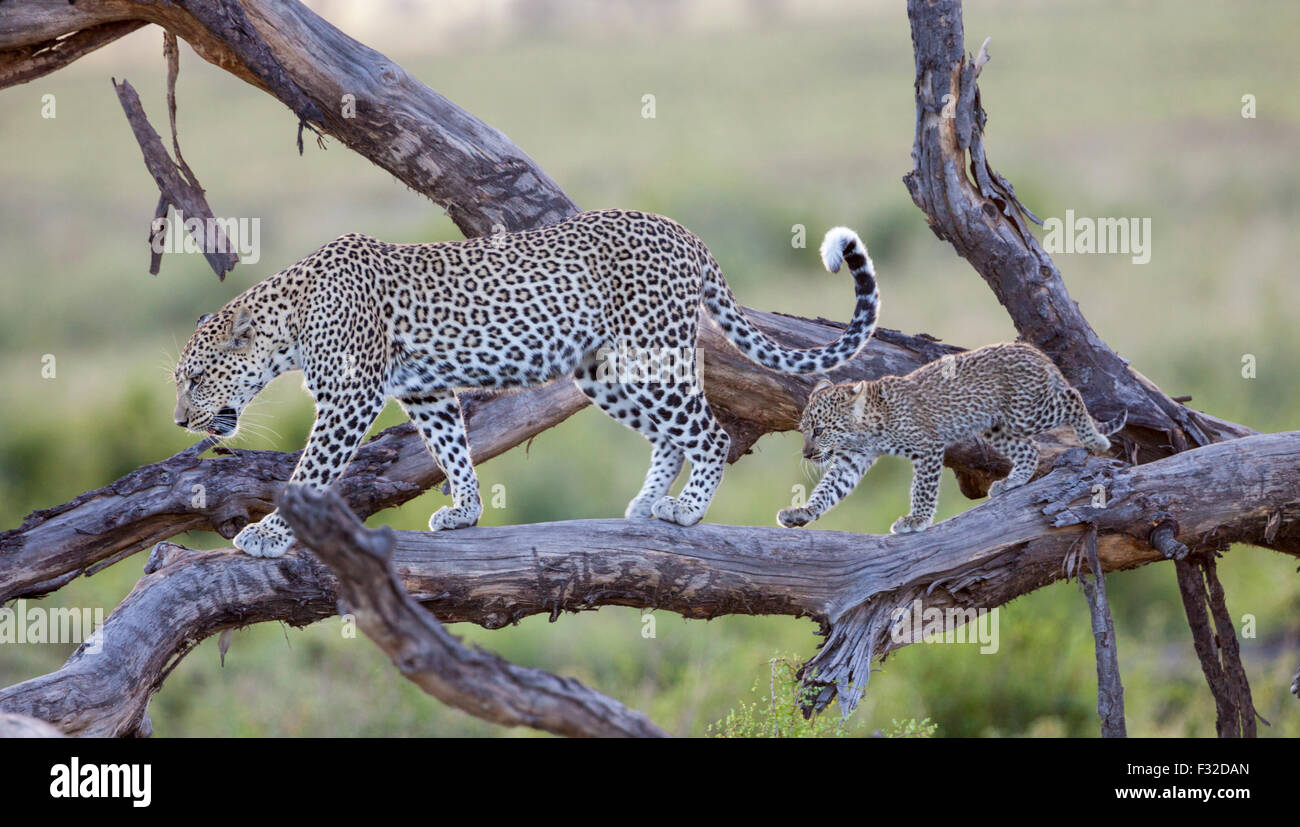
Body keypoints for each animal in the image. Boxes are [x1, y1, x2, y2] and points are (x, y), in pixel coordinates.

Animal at [172, 209, 882, 557]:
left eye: (196, 377)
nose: (179, 421)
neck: (286, 323)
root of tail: (684, 232)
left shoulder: (350, 397)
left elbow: (312, 471)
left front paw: (267, 535)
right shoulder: (424, 390)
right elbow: (450, 449)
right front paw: (465, 511)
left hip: (651, 355)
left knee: (707, 433)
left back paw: (685, 510)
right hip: (606, 372)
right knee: (670, 436)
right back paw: (647, 504)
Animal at [776, 341, 1126, 534]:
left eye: (819, 430)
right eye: (805, 430)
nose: (807, 454)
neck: (864, 431)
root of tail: (1032, 350)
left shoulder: (928, 447)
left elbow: (923, 489)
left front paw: (916, 520)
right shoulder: (851, 461)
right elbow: (828, 489)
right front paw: (801, 513)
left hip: (1027, 411)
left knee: (1072, 396)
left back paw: (1096, 440)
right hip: (996, 425)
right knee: (1028, 449)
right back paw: (1012, 482)